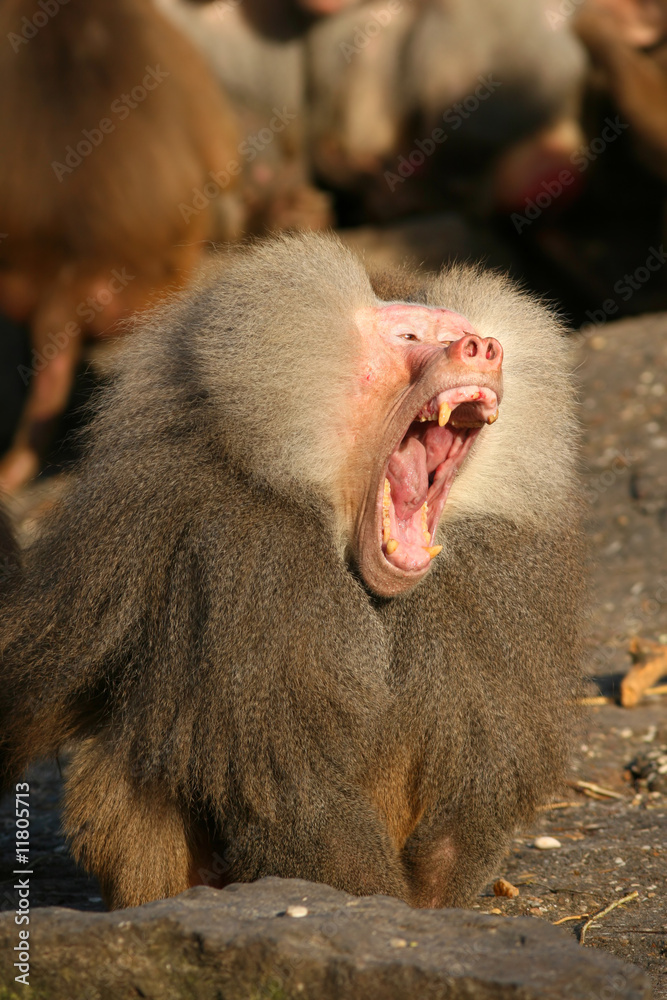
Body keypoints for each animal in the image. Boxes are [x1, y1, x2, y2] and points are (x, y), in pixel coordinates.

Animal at [0, 233, 584, 911]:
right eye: (409, 337)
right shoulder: (246, 554)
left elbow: (475, 787)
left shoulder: (488, 584)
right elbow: (295, 792)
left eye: (462, 333)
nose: (483, 347)